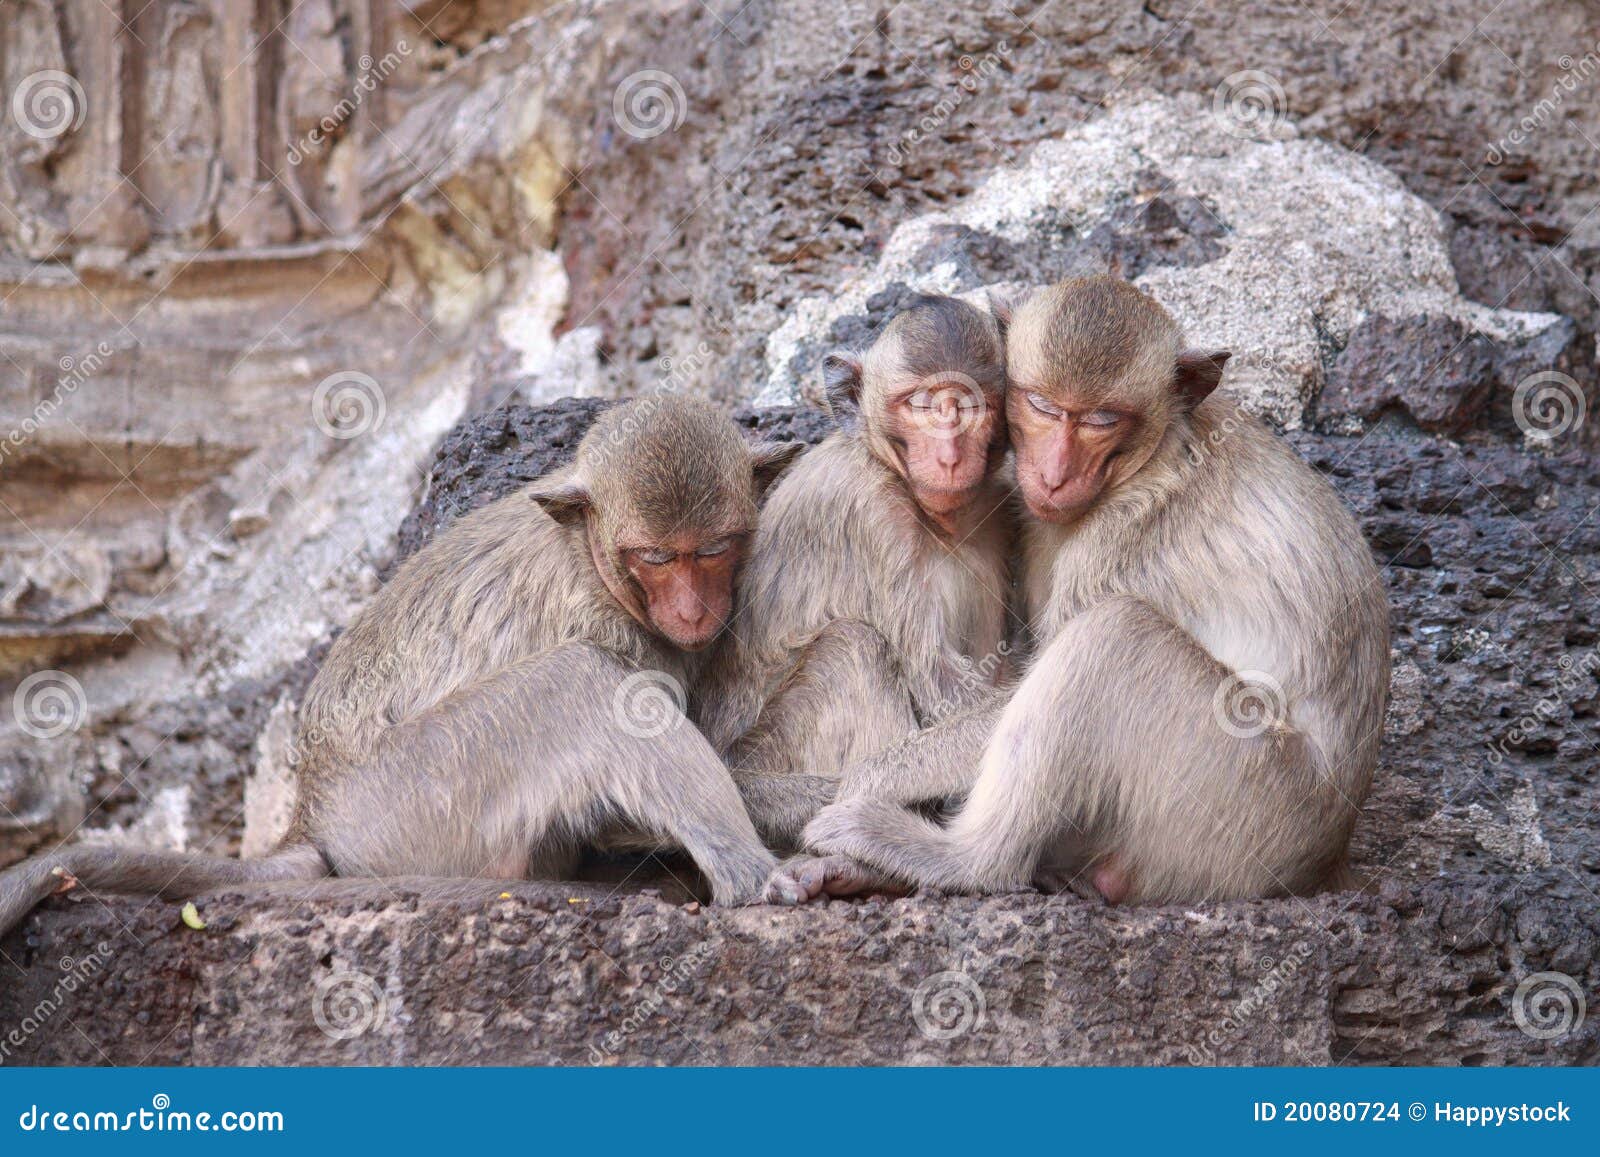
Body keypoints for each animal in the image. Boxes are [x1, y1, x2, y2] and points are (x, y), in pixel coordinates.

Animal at [0, 396, 802, 939]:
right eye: (657, 558)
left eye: (715, 548)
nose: (693, 610)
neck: (590, 554)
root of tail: (311, 816)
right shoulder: (608, 625)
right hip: (412, 805)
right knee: (582, 683)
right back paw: (750, 876)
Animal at [690, 295, 1019, 854]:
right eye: (921, 404)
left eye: (971, 406)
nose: (949, 454)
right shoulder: (870, 513)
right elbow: (941, 686)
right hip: (770, 761)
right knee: (853, 648)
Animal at [786, 275, 1390, 906]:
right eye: (1043, 406)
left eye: (1102, 419)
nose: (1055, 476)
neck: (1149, 455)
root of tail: (1327, 857)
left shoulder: (1125, 534)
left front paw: (857, 783)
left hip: (1245, 809)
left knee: (1114, 635)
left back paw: (956, 858)